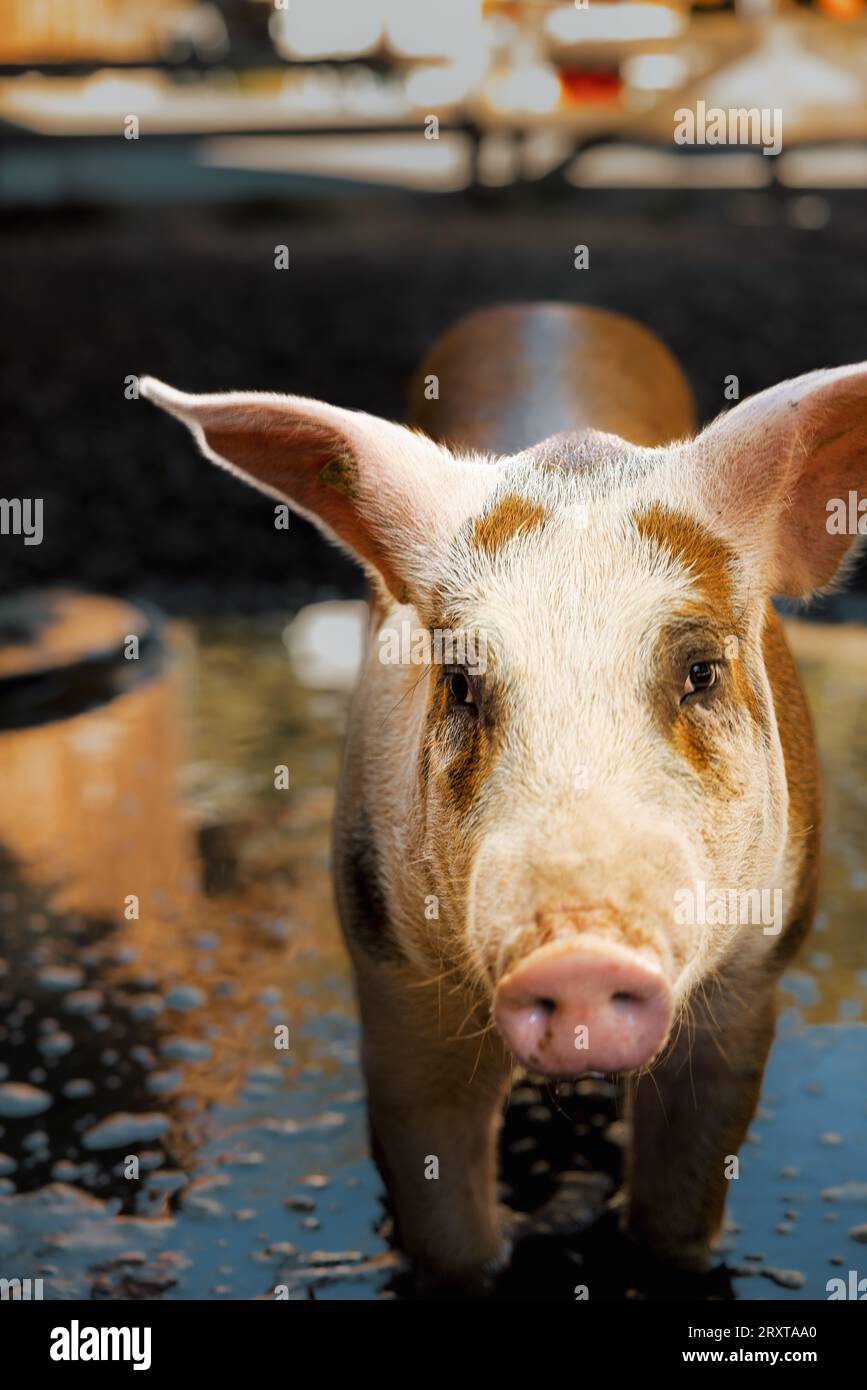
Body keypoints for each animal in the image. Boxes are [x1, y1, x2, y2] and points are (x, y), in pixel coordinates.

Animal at [141, 301, 865, 1289]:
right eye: (458, 683)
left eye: (701, 672)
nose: (578, 957)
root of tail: (550, 310)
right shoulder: (392, 979)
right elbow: (444, 1220)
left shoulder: (750, 982)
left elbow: (679, 1211)